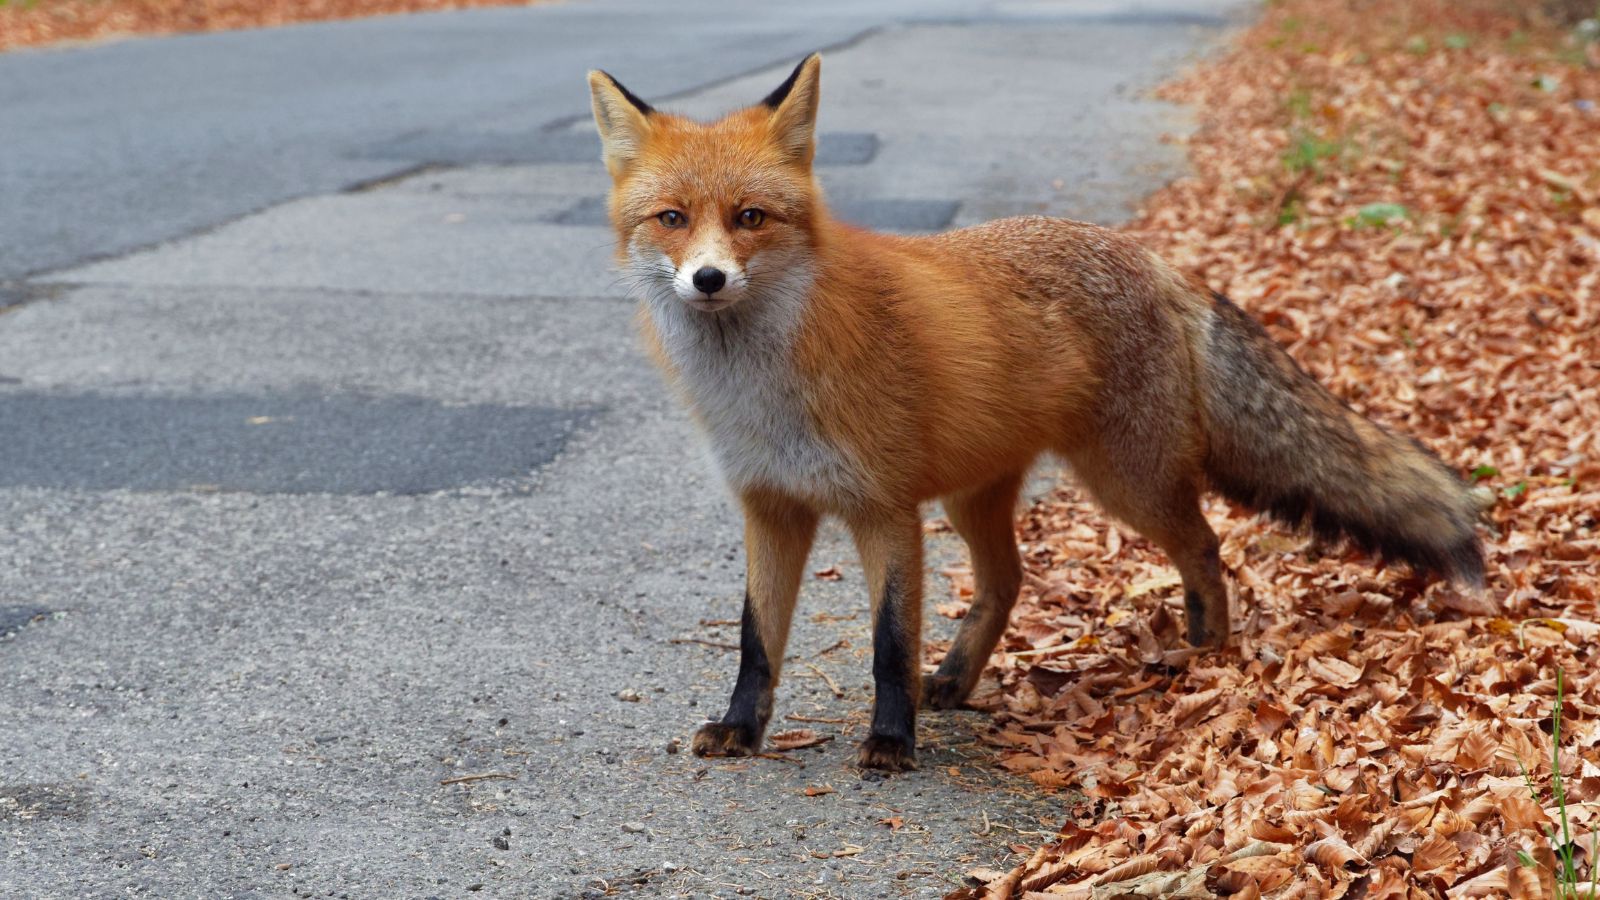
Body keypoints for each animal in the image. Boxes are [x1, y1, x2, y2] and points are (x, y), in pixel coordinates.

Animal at [586, 54, 1485, 771]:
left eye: (750, 218)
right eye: (672, 219)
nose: (708, 280)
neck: (762, 392)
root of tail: (1156, 261)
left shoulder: (884, 510)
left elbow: (888, 643)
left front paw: (891, 742)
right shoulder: (772, 508)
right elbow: (755, 641)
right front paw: (742, 730)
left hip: (1124, 482)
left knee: (1205, 546)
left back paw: (1207, 650)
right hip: (973, 496)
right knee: (1009, 581)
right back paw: (955, 679)